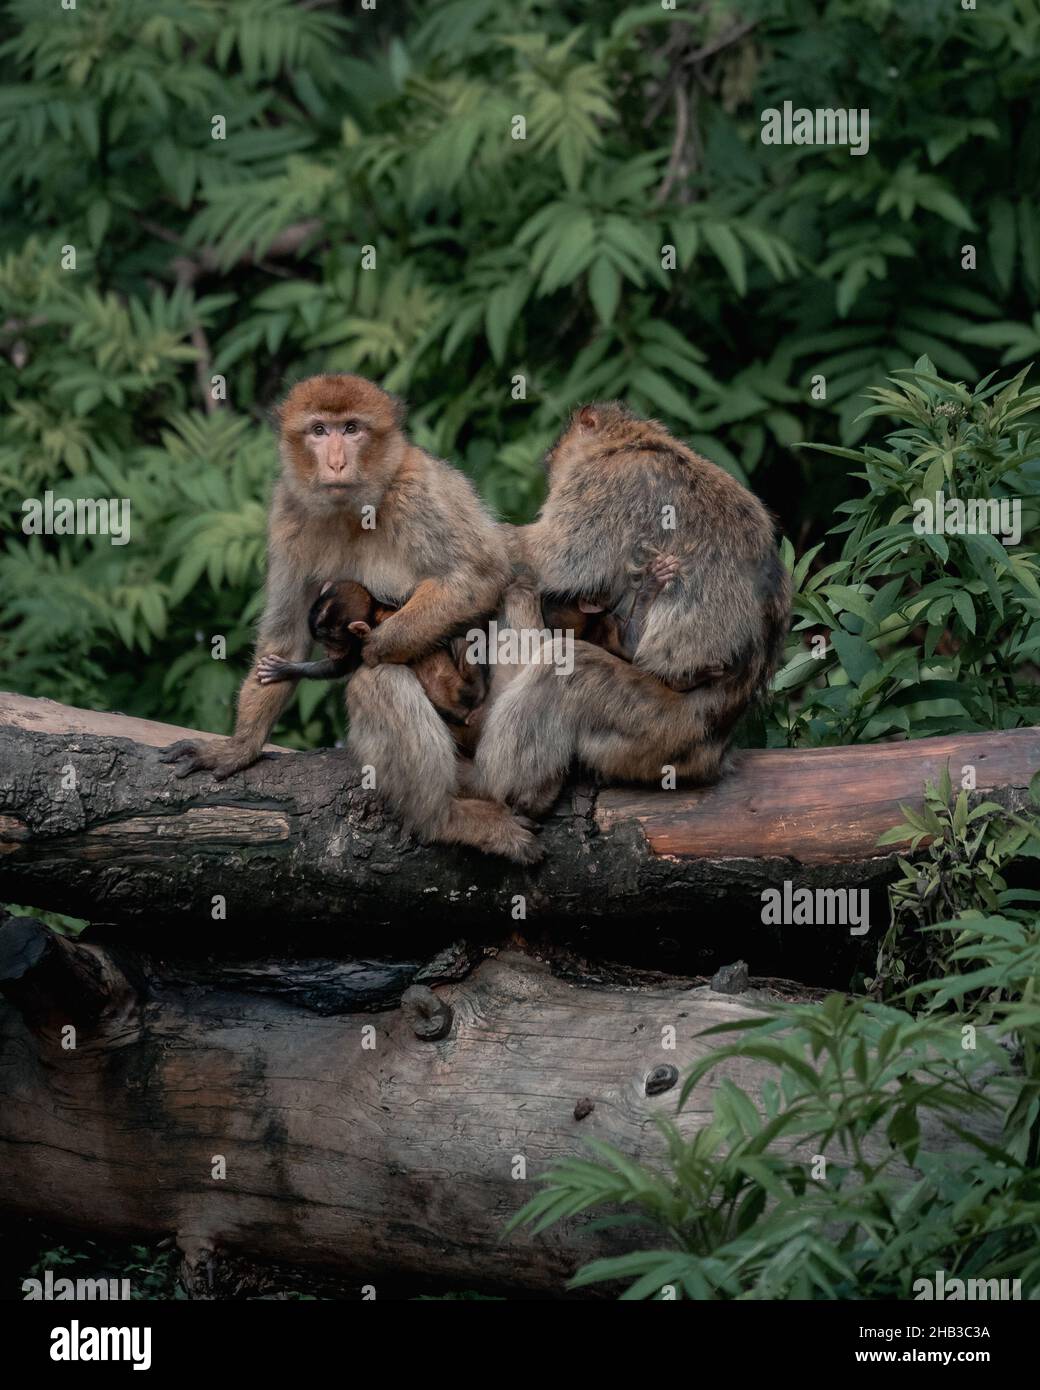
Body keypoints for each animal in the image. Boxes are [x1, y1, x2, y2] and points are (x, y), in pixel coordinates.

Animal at [256, 579, 488, 756]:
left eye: (334, 643)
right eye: (324, 643)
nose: (329, 652)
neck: (375, 613)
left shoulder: (364, 644)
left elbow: (338, 668)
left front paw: (284, 669)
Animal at [473, 401, 790, 817]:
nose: (552, 479)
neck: (634, 444)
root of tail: (714, 750)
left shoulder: (610, 483)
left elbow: (546, 559)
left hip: (655, 734)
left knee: (563, 665)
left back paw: (514, 792)